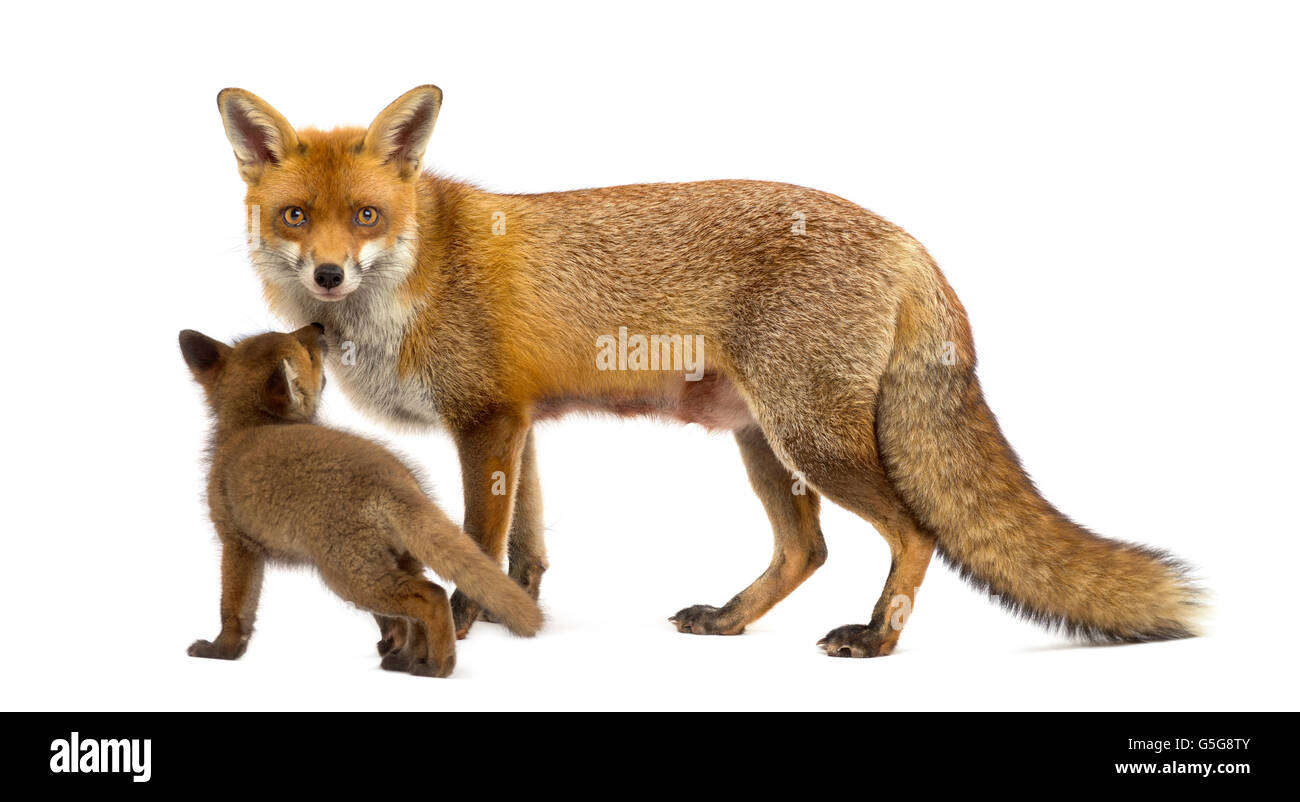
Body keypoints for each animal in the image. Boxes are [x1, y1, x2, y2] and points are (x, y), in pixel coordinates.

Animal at [180, 324, 543, 677]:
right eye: (308, 352)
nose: (318, 326)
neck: (246, 427)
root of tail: (397, 480)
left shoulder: (237, 544)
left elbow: (234, 611)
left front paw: (222, 651)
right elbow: (392, 624)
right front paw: (390, 644)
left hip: (349, 575)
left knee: (432, 596)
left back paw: (438, 668)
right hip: (397, 562)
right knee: (418, 612)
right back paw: (408, 661)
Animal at [216, 85, 1203, 658]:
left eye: (367, 215)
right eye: (298, 216)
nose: (328, 276)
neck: (419, 271)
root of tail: (907, 240)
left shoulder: (486, 420)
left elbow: (476, 540)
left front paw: (460, 626)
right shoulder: (518, 420)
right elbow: (526, 548)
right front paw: (515, 618)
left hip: (813, 437)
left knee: (913, 532)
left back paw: (876, 638)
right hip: (763, 442)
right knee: (807, 547)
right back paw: (730, 621)